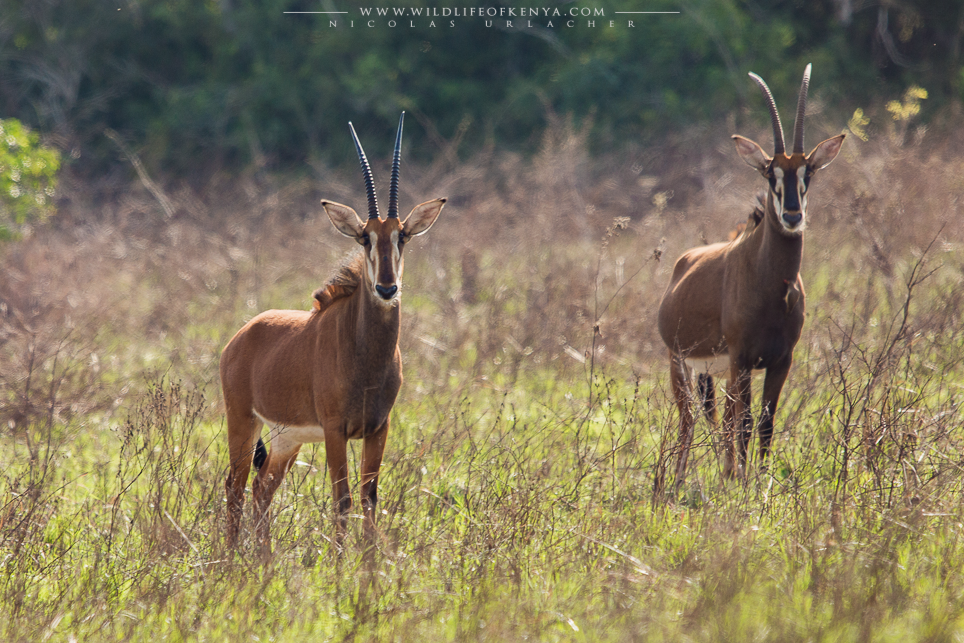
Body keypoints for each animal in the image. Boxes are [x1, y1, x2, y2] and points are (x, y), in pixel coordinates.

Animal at [221, 113, 446, 553]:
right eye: (364, 237)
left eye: (402, 236)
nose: (387, 288)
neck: (366, 357)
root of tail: (240, 337)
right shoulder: (334, 430)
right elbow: (342, 498)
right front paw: (341, 562)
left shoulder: (378, 428)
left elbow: (369, 497)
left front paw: (369, 561)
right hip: (243, 422)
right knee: (235, 487)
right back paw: (231, 558)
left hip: (286, 439)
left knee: (261, 489)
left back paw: (263, 558)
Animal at [657, 65, 844, 490]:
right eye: (769, 172)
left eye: (808, 172)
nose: (792, 215)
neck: (771, 286)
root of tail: (683, 263)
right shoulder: (742, 357)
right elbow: (741, 423)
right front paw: (739, 481)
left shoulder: (780, 360)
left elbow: (764, 423)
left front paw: (760, 480)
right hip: (682, 363)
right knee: (691, 421)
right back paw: (679, 481)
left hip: (714, 372)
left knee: (719, 419)